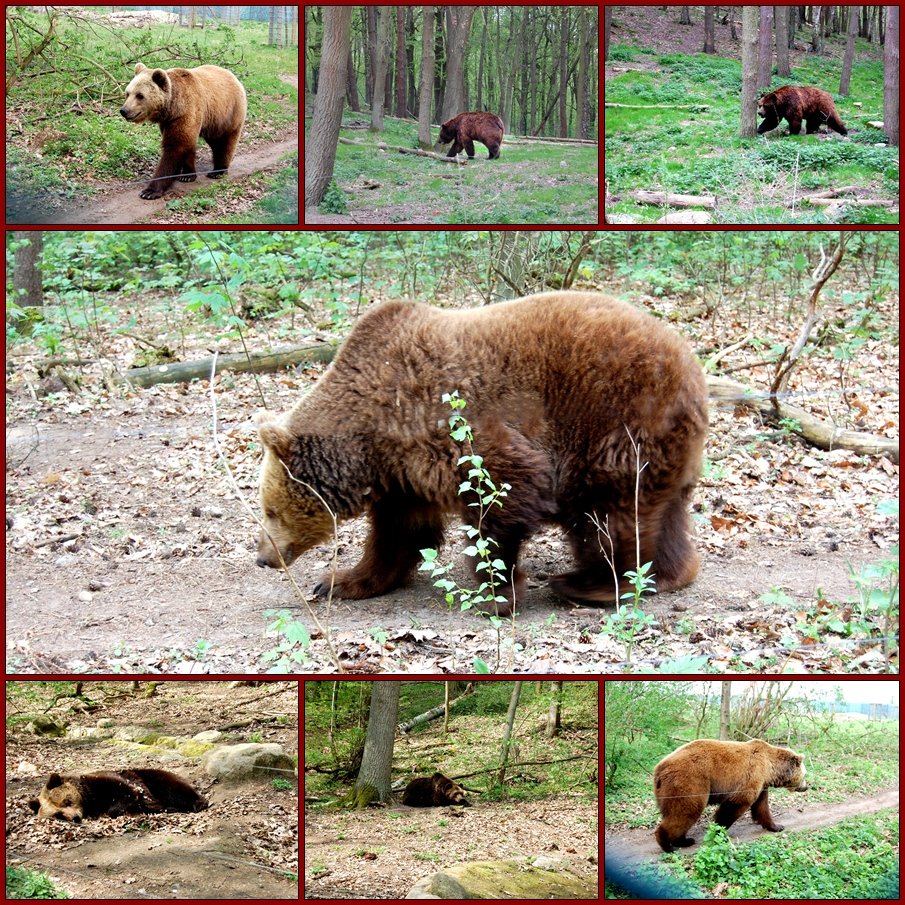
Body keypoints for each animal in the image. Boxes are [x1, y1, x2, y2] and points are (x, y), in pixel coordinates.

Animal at [28, 769, 208, 823]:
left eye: (67, 800)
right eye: (58, 814)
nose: (75, 818)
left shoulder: (107, 783)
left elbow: (127, 792)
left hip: (154, 779)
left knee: (176, 789)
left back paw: (196, 803)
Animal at [120, 62, 247, 199]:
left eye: (140, 95)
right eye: (128, 93)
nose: (124, 111)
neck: (172, 107)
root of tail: (232, 75)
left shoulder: (186, 113)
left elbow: (175, 147)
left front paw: (150, 191)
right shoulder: (169, 121)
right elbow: (186, 145)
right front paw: (187, 175)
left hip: (228, 113)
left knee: (225, 142)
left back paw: (218, 171)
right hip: (212, 120)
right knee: (215, 142)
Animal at [253, 292, 708, 614]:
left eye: (270, 510)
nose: (263, 557)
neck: (370, 435)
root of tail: (691, 366)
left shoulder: (452, 426)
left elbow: (502, 495)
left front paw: (497, 590)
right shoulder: (402, 474)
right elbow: (398, 533)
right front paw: (339, 580)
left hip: (615, 423)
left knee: (607, 515)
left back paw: (590, 584)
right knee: (658, 513)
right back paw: (668, 574)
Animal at [653, 739, 808, 852]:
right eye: (805, 774)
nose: (806, 787)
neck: (770, 769)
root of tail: (658, 770)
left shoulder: (762, 785)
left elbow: (761, 807)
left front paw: (776, 826)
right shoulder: (751, 776)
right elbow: (736, 804)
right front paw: (719, 831)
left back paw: (684, 841)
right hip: (690, 781)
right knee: (685, 811)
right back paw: (668, 845)